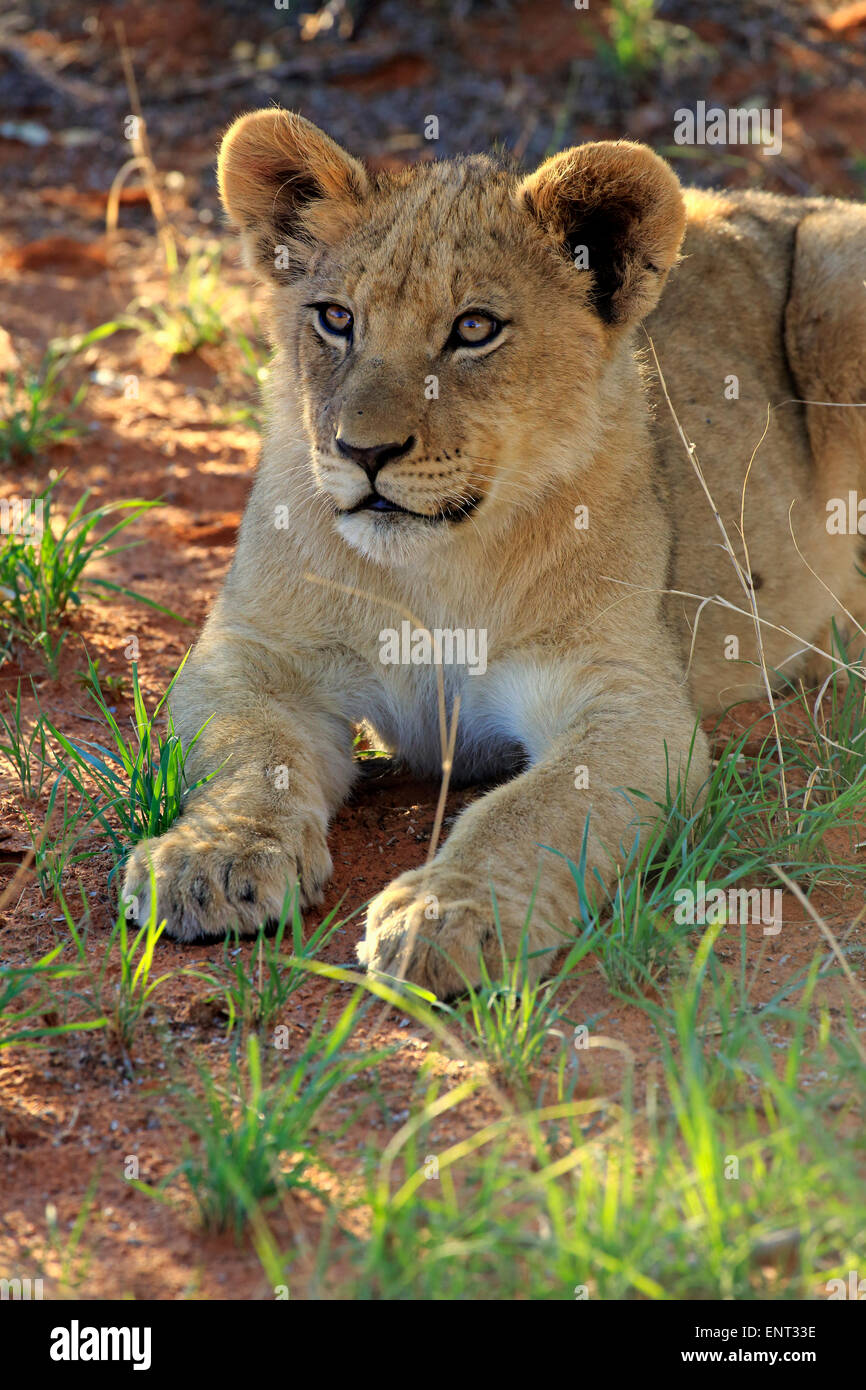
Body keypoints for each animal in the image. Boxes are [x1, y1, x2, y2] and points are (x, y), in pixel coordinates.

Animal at [122, 110, 866, 998]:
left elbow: (530, 811)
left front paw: (448, 912)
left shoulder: (626, 699)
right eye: (336, 318)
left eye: (473, 329)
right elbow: (251, 753)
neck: (436, 572)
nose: (363, 451)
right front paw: (211, 857)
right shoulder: (253, 652)